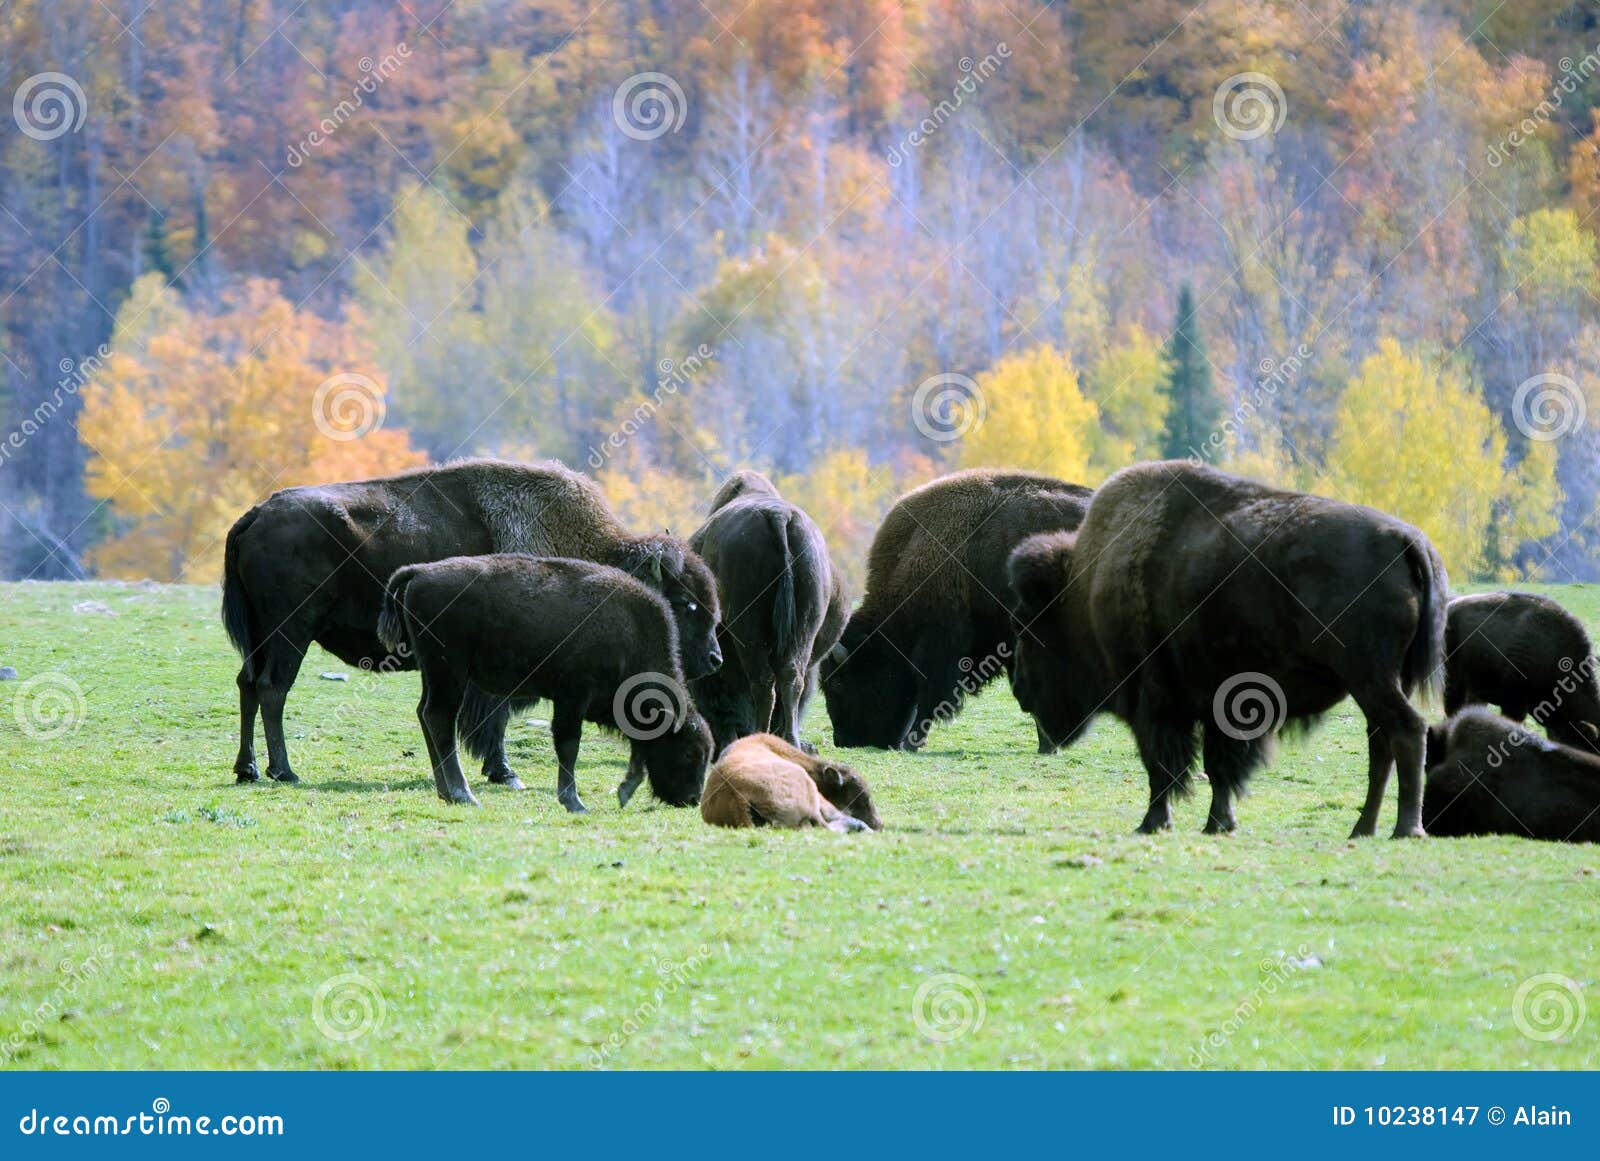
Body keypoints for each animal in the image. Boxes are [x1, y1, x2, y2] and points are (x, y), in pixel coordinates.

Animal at [377, 554, 713, 810]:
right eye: (689, 752)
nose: (692, 799)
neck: (630, 632)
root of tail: (420, 572)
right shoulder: (572, 698)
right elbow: (568, 745)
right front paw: (574, 802)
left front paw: (621, 792)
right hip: (449, 673)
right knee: (440, 719)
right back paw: (463, 795)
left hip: (435, 675)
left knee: (427, 714)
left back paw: (446, 792)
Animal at [688, 471, 846, 756]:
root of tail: (780, 516)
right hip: (804, 628)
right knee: (790, 679)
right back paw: (789, 741)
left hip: (749, 630)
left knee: (763, 682)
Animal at [1009, 460, 1449, 838]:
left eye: (1030, 631)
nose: (1020, 691)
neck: (1082, 588)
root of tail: (1407, 540)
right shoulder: (1216, 709)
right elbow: (1219, 767)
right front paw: (1219, 823)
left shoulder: (1154, 705)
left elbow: (1163, 766)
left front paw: (1153, 822)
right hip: (1385, 683)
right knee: (1382, 745)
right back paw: (1364, 828)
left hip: (1371, 679)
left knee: (1407, 731)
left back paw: (1405, 829)